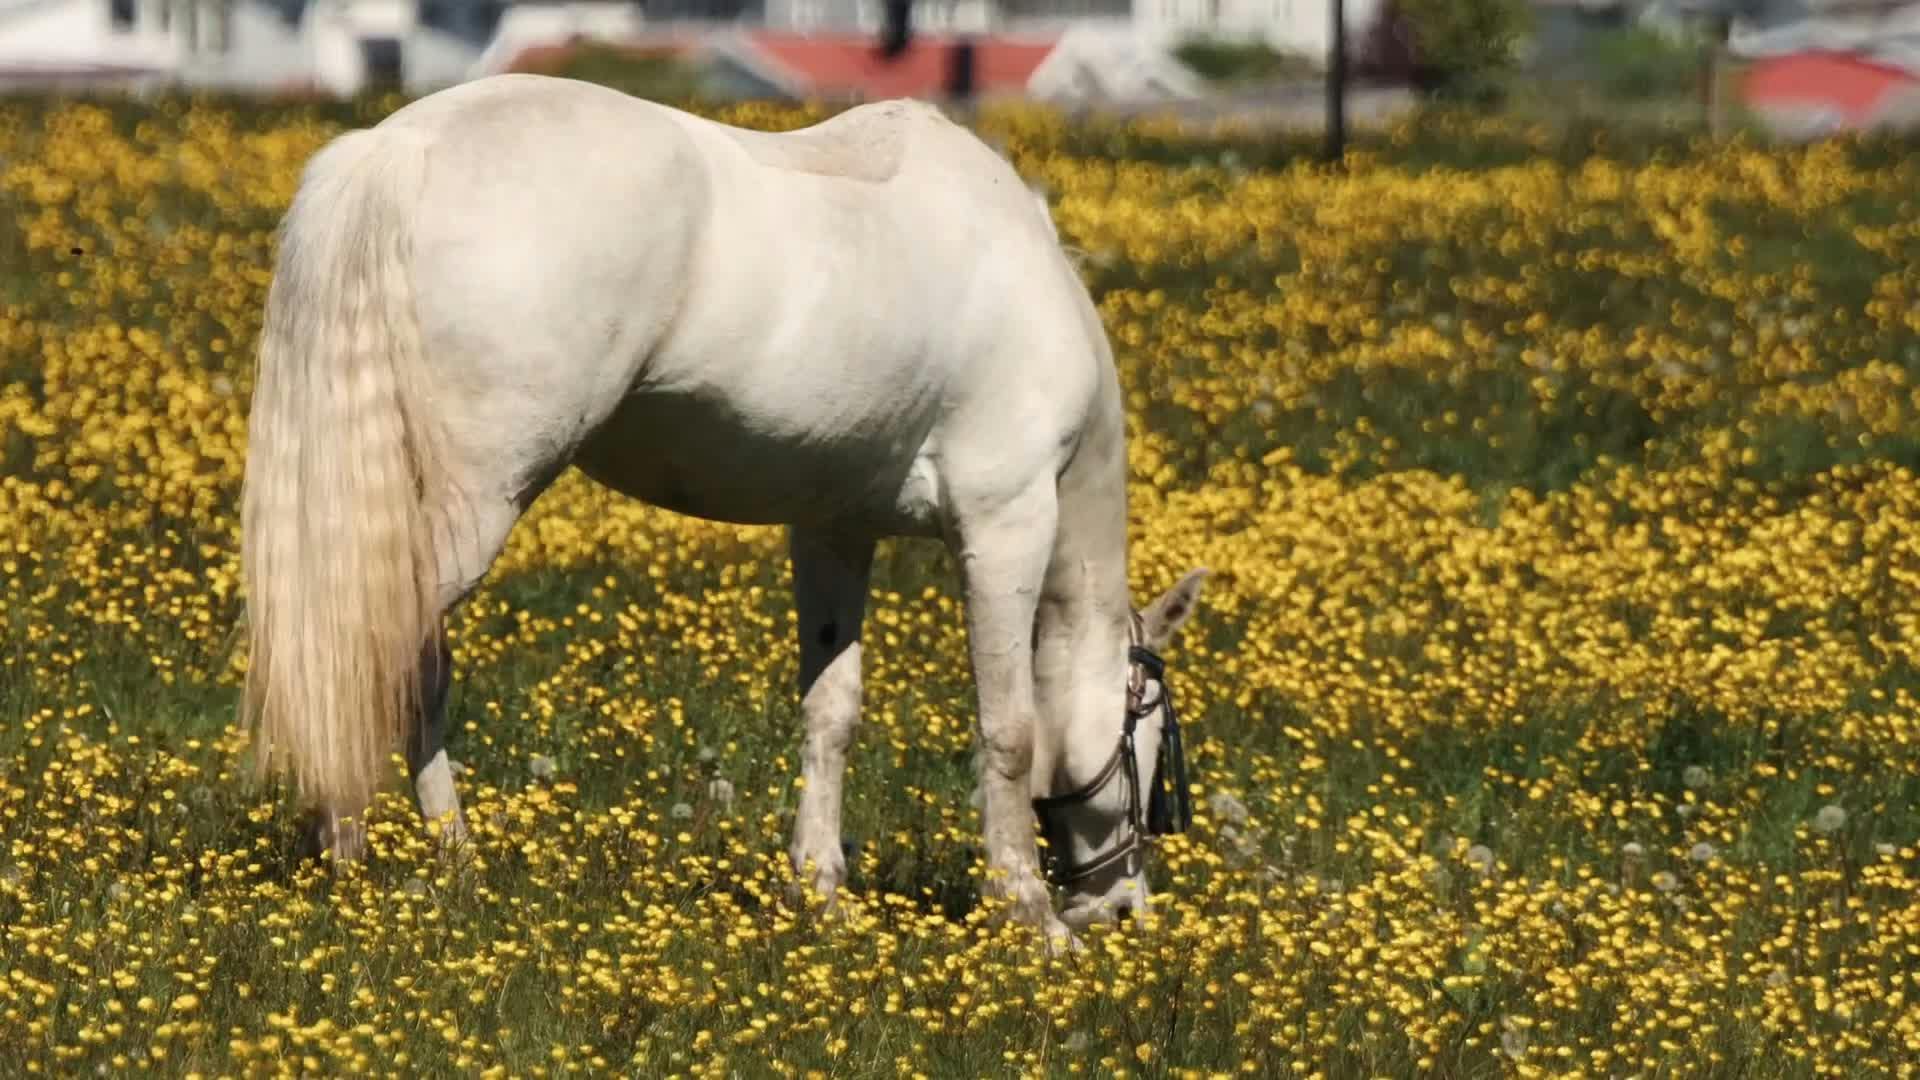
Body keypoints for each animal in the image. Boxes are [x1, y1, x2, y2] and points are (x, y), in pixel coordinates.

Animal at [239, 73, 1207, 942]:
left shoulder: (833, 530)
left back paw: (439, 856)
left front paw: (821, 892)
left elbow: (830, 711)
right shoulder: (1004, 524)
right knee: (372, 654)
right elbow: (1009, 730)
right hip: (473, 506)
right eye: (1155, 744)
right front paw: (1029, 916)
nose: (1123, 909)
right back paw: (366, 845)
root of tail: (394, 151)